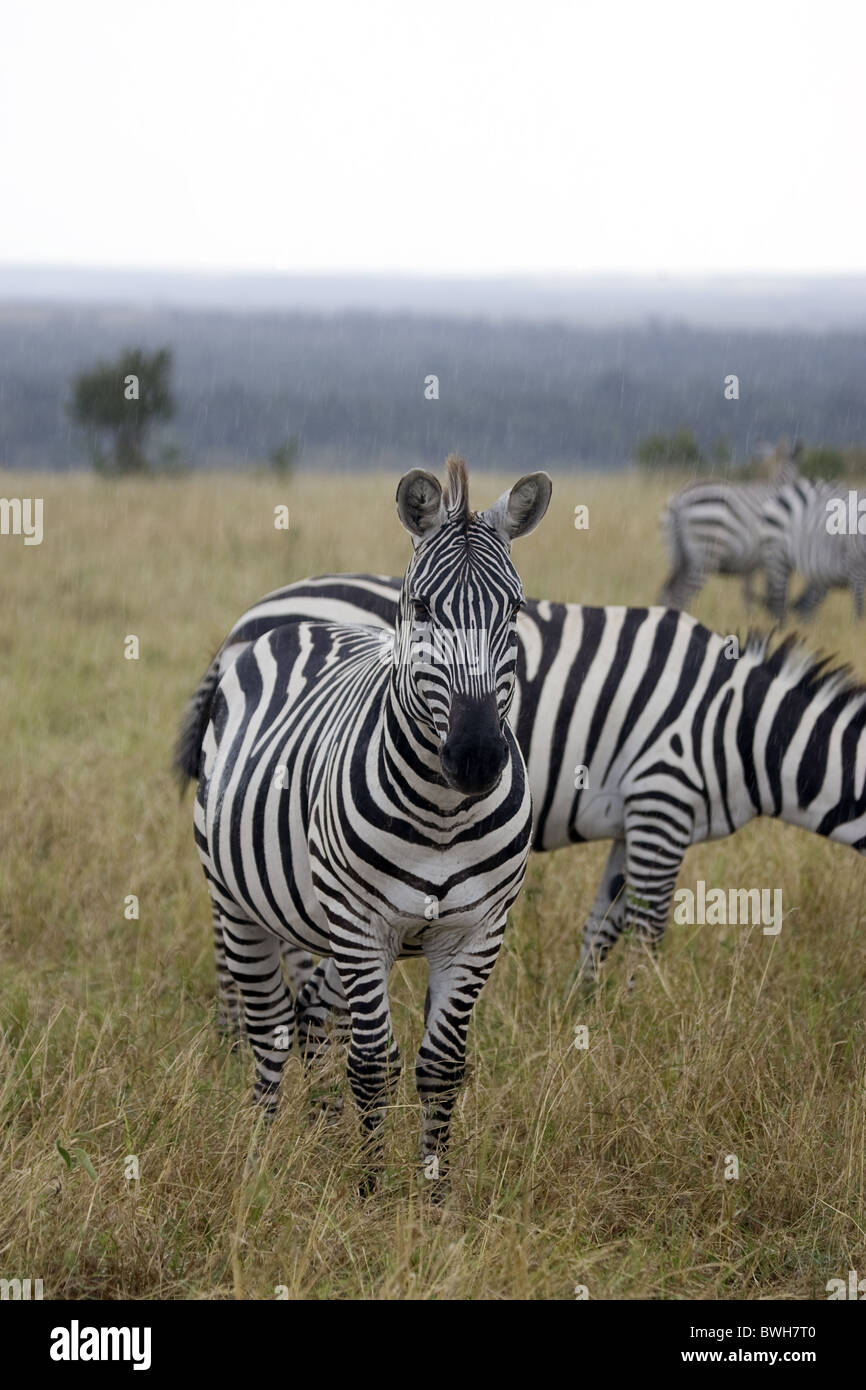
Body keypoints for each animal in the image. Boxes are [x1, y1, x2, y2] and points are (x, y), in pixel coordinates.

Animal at [178, 575, 866, 1012]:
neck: (744, 726)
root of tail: (249, 620)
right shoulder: (662, 797)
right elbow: (648, 929)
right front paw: (646, 1018)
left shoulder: (635, 822)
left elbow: (602, 925)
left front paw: (583, 1013)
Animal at [190, 459, 552, 1185]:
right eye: (422, 608)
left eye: (515, 611)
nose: (476, 757)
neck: (442, 815)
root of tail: (300, 625)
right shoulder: (362, 927)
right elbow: (372, 1063)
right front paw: (369, 1190)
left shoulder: (479, 932)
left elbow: (442, 1067)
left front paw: (434, 1195)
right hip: (239, 904)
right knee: (271, 1027)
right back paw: (261, 1154)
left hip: (318, 920)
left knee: (311, 1016)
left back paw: (319, 1129)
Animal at [761, 477, 866, 621]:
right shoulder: (856, 568)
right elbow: (859, 609)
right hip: (777, 557)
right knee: (780, 601)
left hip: (819, 569)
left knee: (805, 604)